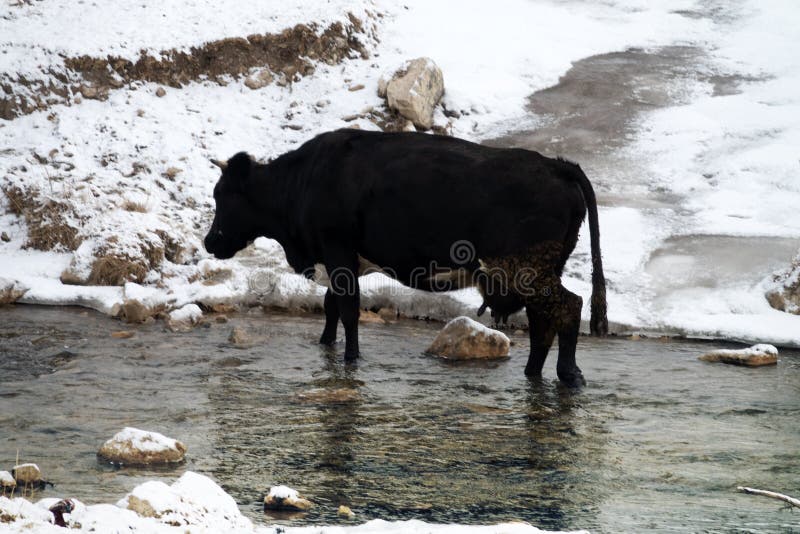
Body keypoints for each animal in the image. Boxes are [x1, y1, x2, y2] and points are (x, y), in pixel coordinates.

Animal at [204, 128, 607, 387]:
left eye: (221, 194)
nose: (210, 242)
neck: (304, 181)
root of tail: (556, 165)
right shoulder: (343, 260)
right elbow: (331, 305)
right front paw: (325, 346)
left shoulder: (337, 249)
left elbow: (348, 309)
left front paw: (351, 359)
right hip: (539, 271)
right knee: (544, 321)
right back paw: (533, 374)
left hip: (527, 269)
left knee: (569, 306)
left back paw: (570, 375)